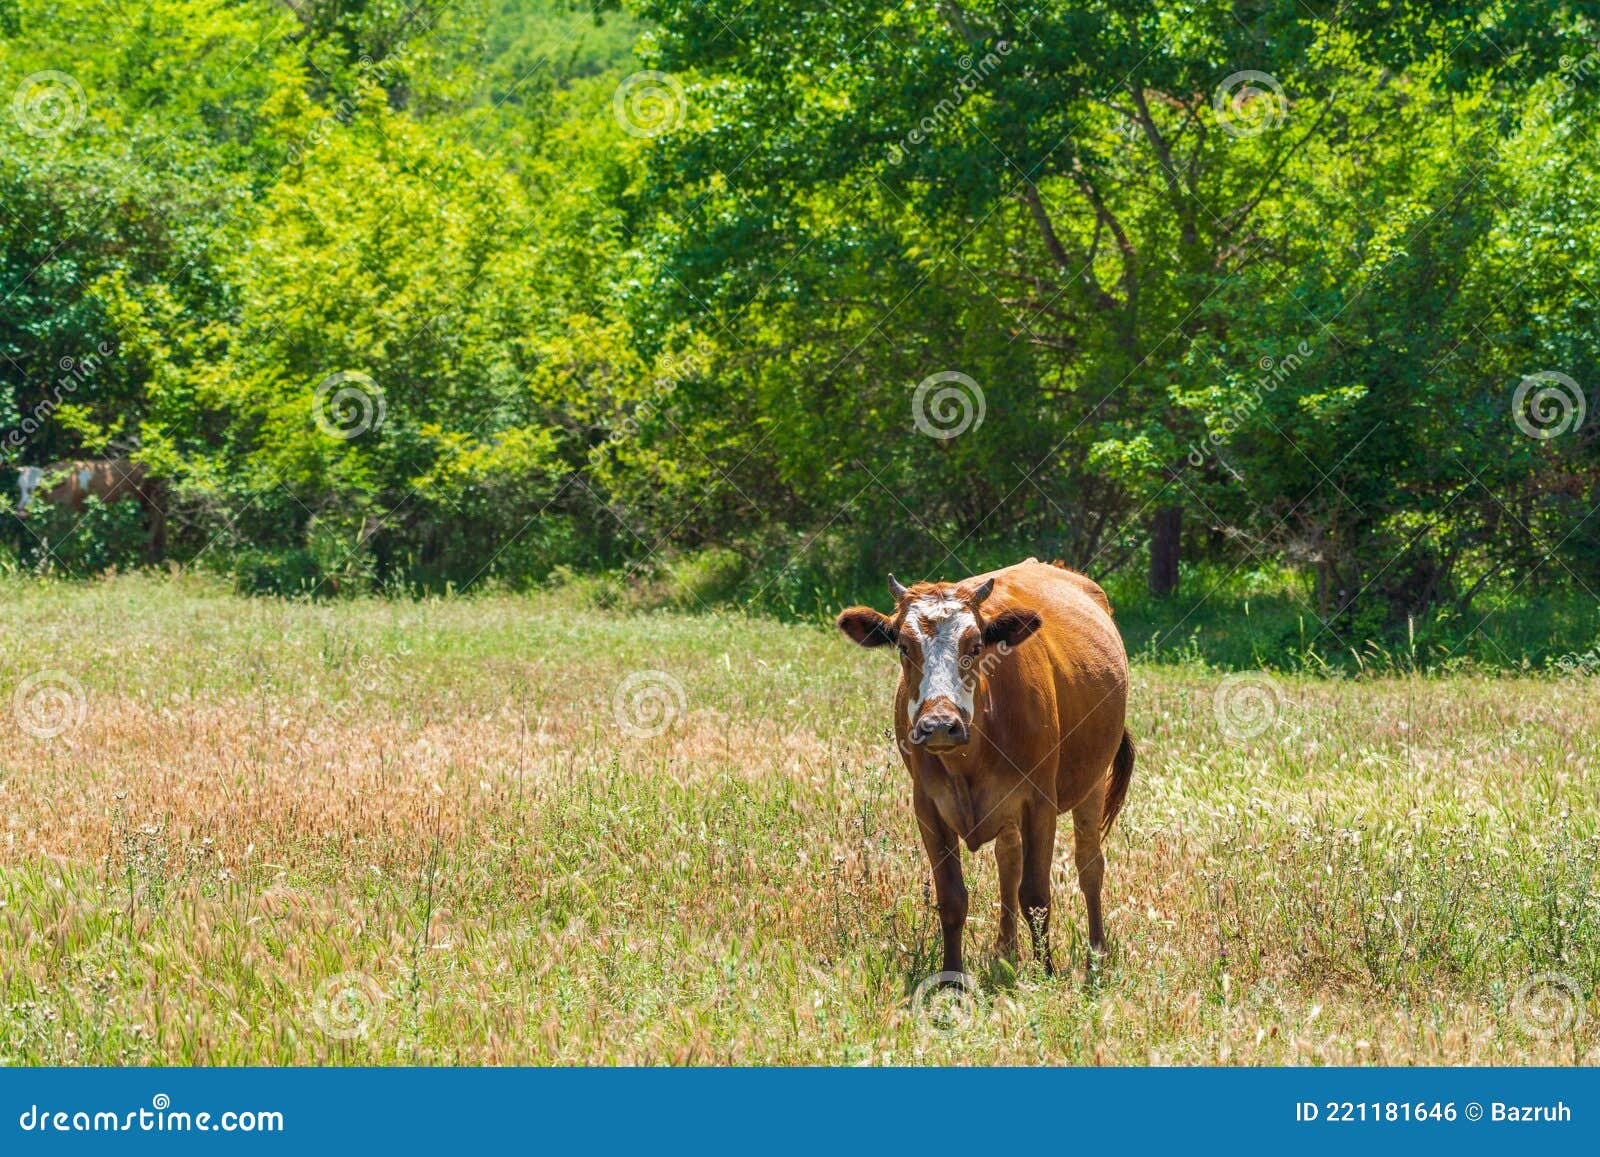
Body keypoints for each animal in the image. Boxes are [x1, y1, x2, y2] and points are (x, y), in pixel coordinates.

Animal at [836, 558, 1134, 977]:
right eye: (904, 647)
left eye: (975, 646)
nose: (939, 724)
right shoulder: (928, 806)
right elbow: (952, 898)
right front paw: (953, 977)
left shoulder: (1039, 802)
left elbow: (1036, 895)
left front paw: (1046, 972)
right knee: (1008, 860)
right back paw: (1005, 949)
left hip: (1092, 783)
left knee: (1089, 864)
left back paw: (1097, 954)